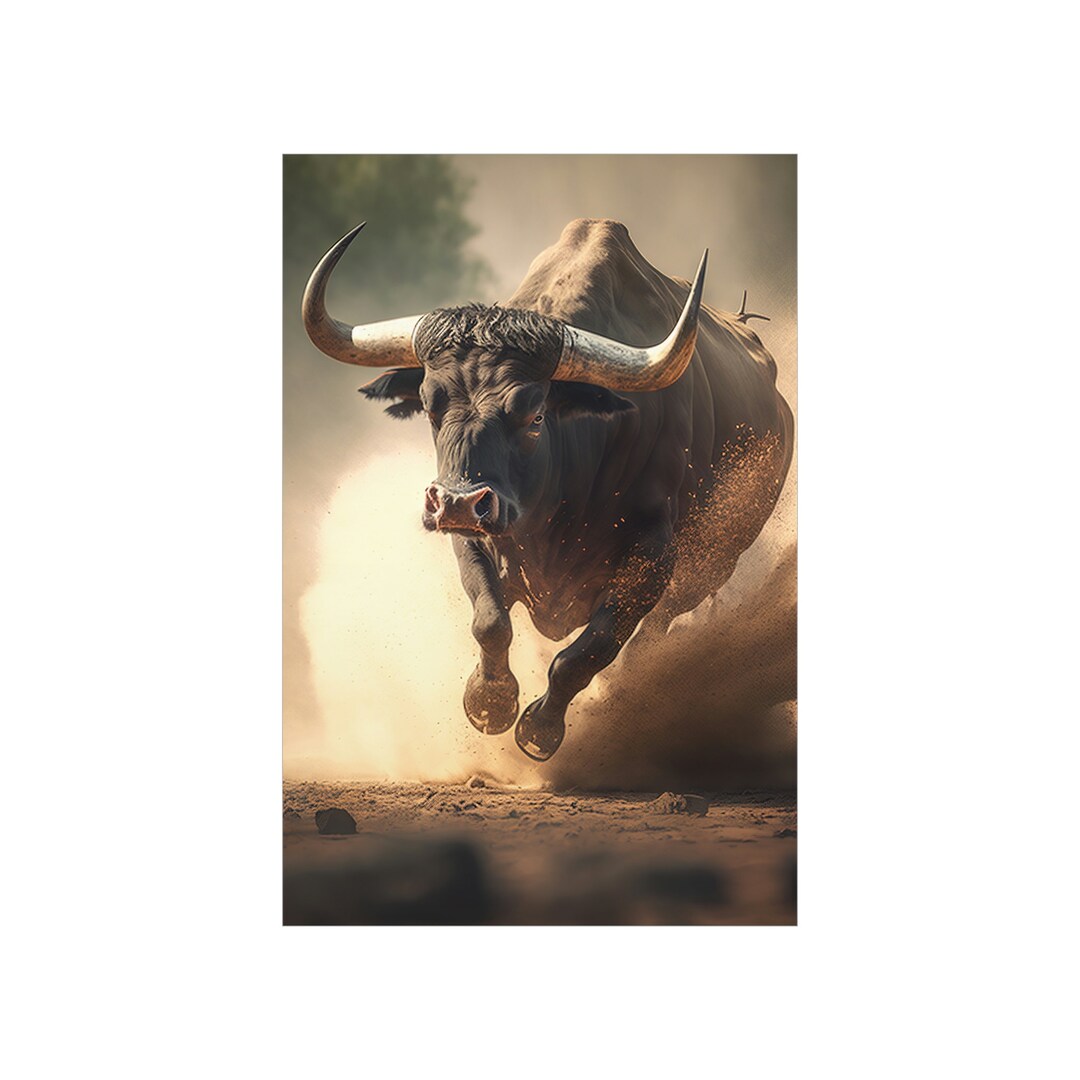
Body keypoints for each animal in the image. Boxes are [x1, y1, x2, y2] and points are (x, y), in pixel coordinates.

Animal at [302, 218, 793, 761]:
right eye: (431, 407)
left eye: (535, 414)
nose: (456, 502)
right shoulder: (477, 536)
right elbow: (490, 621)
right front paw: (490, 703)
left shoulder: (655, 557)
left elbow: (590, 650)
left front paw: (540, 729)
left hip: (708, 570)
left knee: (651, 638)